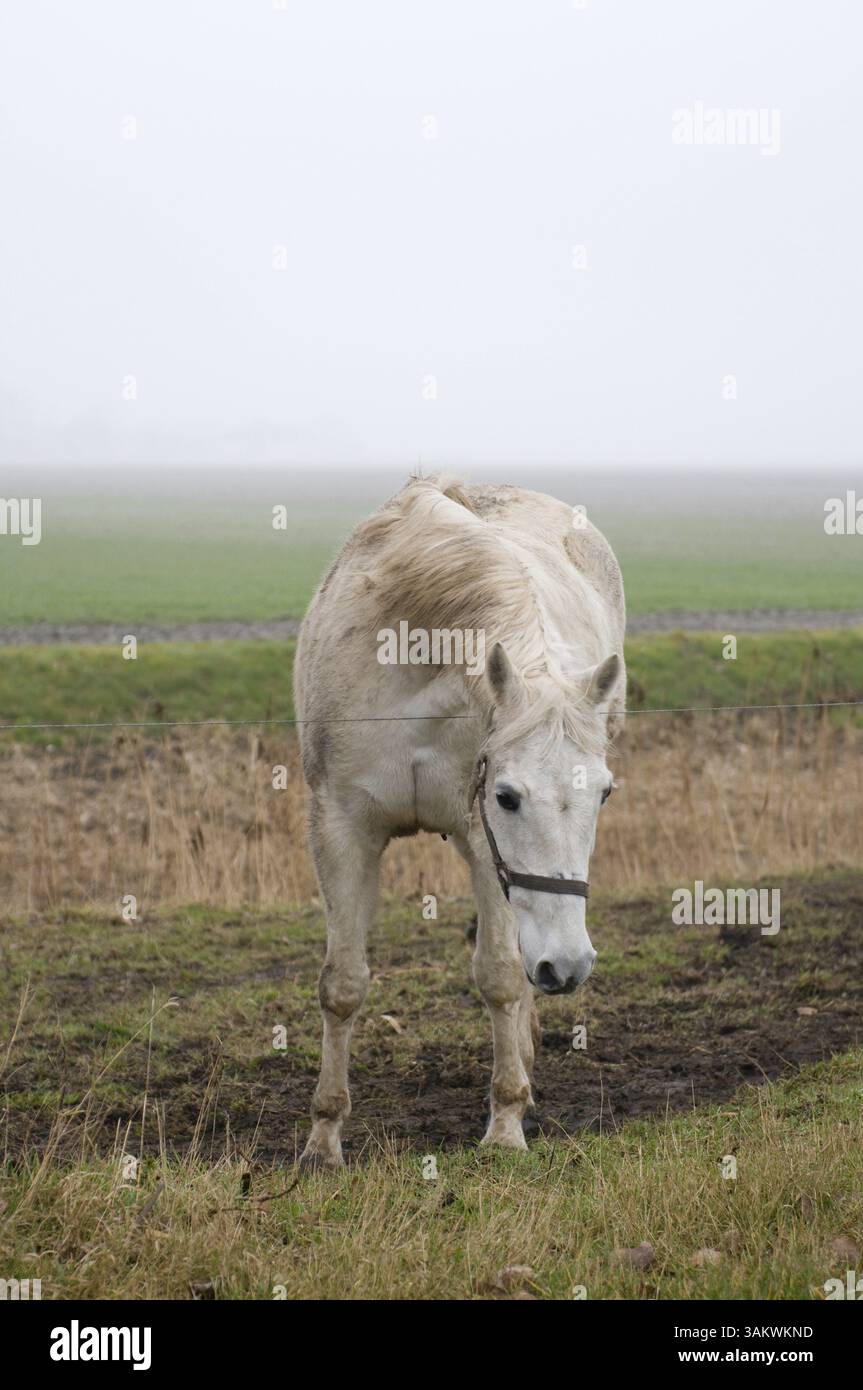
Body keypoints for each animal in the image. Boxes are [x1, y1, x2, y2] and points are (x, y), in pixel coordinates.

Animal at [294, 475, 626, 1166]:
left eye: (605, 795)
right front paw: (324, 1138)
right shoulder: (340, 827)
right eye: (507, 796)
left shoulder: (482, 845)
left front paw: (505, 1124)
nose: (571, 966)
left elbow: (500, 977)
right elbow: (342, 985)